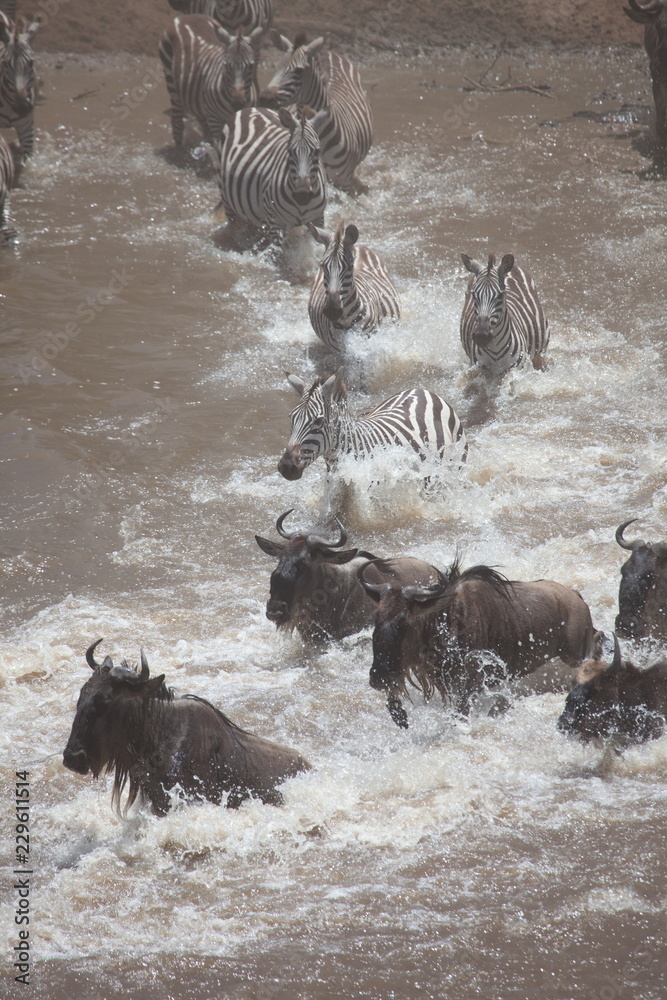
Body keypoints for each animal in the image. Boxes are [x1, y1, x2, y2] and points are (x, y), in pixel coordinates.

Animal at [159, 16, 262, 147]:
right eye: (226, 65)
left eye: (250, 66)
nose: (238, 103)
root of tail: (185, 17)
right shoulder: (215, 121)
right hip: (172, 85)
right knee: (177, 124)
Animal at [217, 106, 326, 244]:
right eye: (290, 151)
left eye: (317, 151)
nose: (302, 194)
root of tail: (251, 108)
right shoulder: (275, 223)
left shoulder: (318, 219)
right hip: (227, 200)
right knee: (234, 228)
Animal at [307, 220, 401, 353]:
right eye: (323, 266)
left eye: (350, 267)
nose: (332, 311)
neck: (346, 321)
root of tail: (356, 246)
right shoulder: (340, 349)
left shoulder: (368, 339)